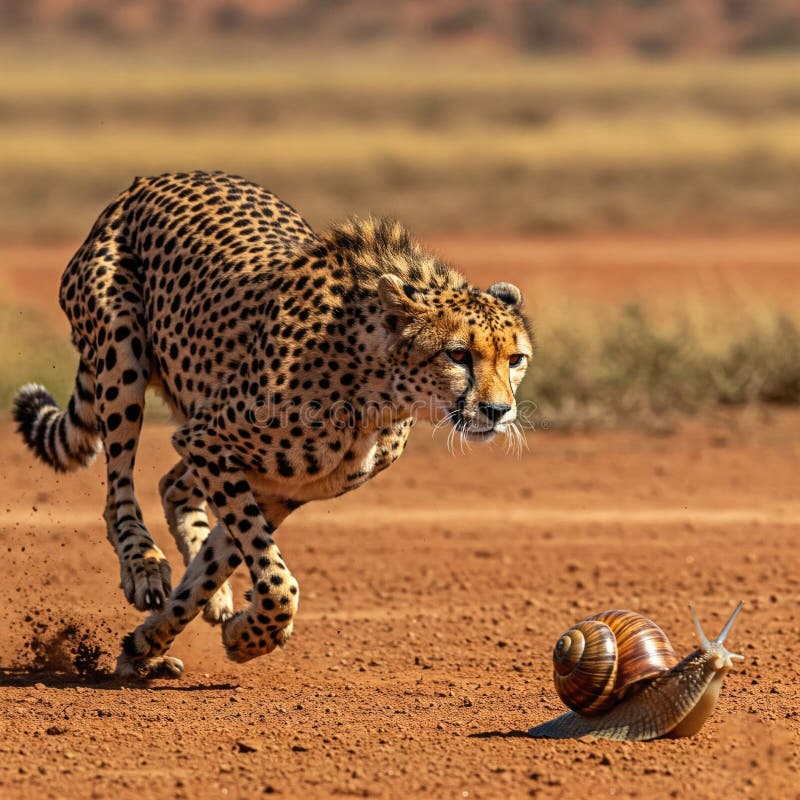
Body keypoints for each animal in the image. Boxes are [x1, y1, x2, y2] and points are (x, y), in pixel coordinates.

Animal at [13, 170, 533, 678]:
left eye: (516, 359)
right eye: (457, 355)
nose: (497, 411)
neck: (377, 387)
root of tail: (143, 184)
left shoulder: (275, 487)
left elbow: (216, 569)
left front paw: (155, 643)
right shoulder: (208, 440)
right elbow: (279, 582)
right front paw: (244, 634)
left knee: (172, 486)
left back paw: (208, 602)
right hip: (121, 354)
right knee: (118, 490)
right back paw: (143, 564)